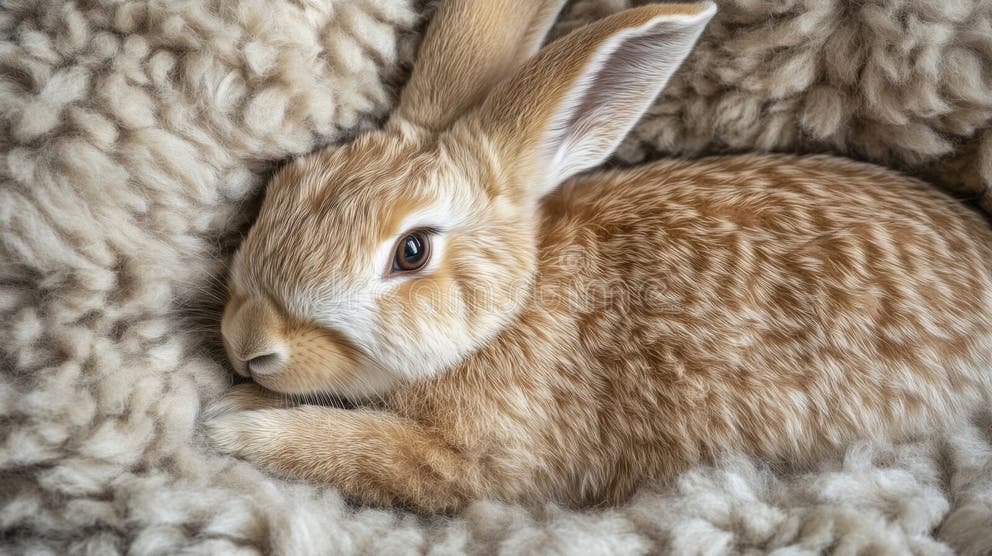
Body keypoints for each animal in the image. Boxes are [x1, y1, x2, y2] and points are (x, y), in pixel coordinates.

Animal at [205, 0, 992, 513]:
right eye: (287, 184)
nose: (247, 345)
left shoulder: (478, 461)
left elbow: (379, 456)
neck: (513, 306)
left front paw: (234, 423)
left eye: (412, 251)